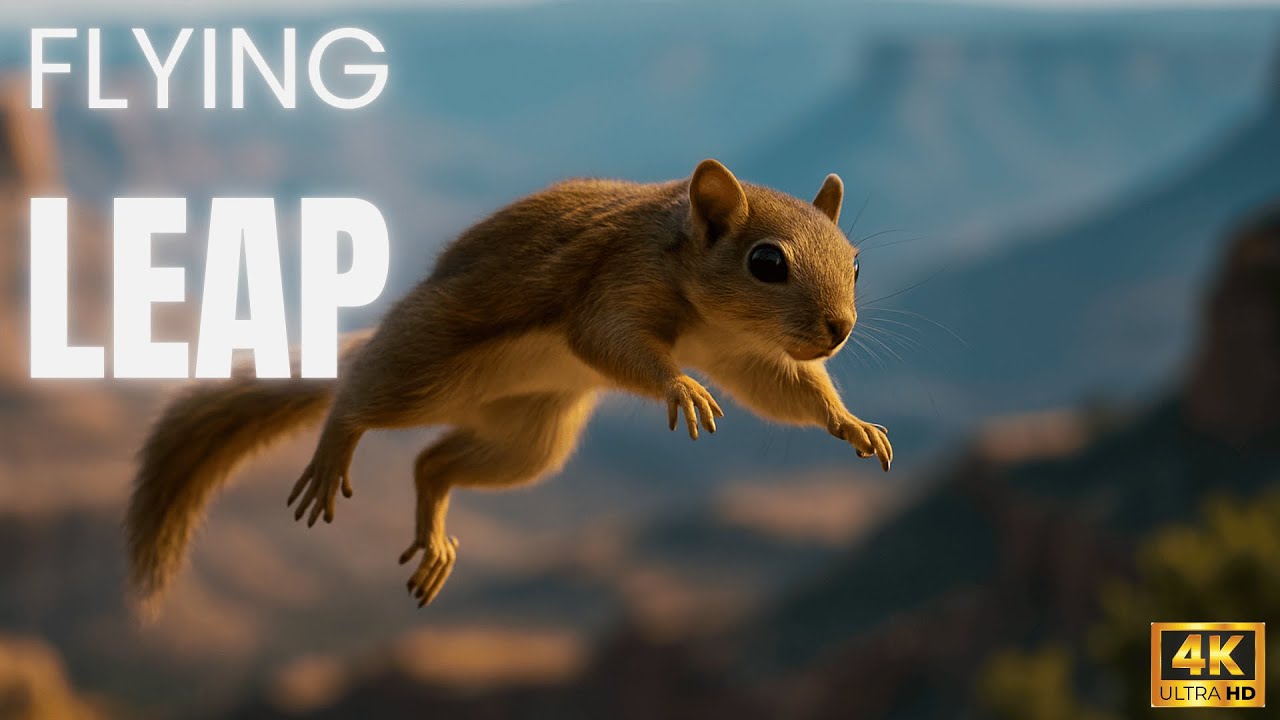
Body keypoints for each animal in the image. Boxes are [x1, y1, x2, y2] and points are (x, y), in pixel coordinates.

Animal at [125, 159, 893, 613]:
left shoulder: (742, 352)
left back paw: (435, 534)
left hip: (531, 438)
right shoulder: (618, 282)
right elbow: (606, 340)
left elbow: (785, 390)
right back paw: (334, 450)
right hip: (423, 371)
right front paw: (681, 388)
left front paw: (853, 424)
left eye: (855, 263)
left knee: (433, 461)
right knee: (360, 401)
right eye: (766, 262)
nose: (840, 329)